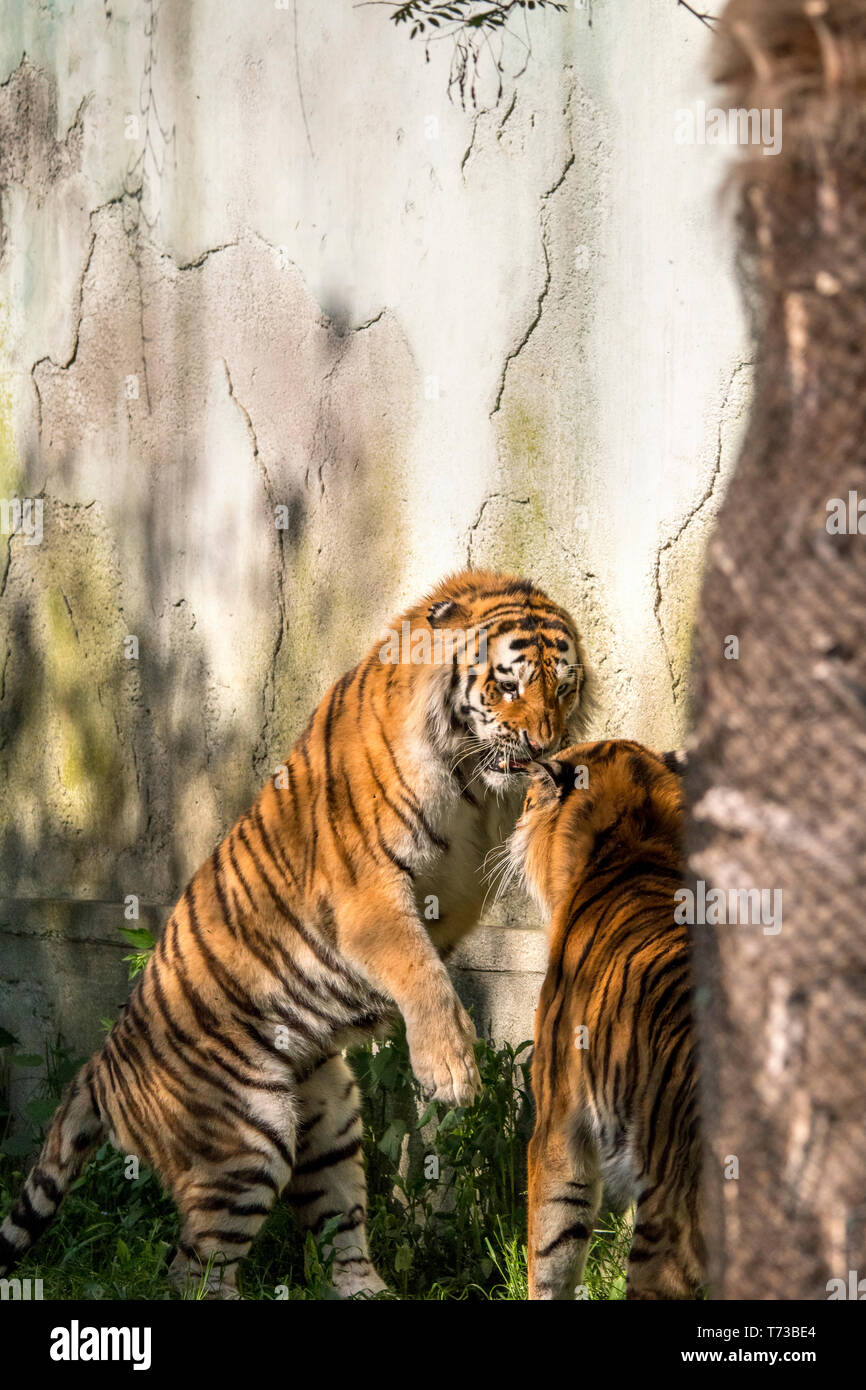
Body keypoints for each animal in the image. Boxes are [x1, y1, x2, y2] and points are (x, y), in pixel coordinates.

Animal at [0, 569, 583, 1299]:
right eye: (508, 685)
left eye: (563, 688)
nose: (543, 748)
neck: (472, 780)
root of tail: (103, 1061)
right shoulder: (370, 893)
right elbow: (422, 973)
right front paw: (451, 1073)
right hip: (246, 1139)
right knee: (191, 1268)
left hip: (328, 1118)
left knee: (333, 1232)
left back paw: (372, 1292)